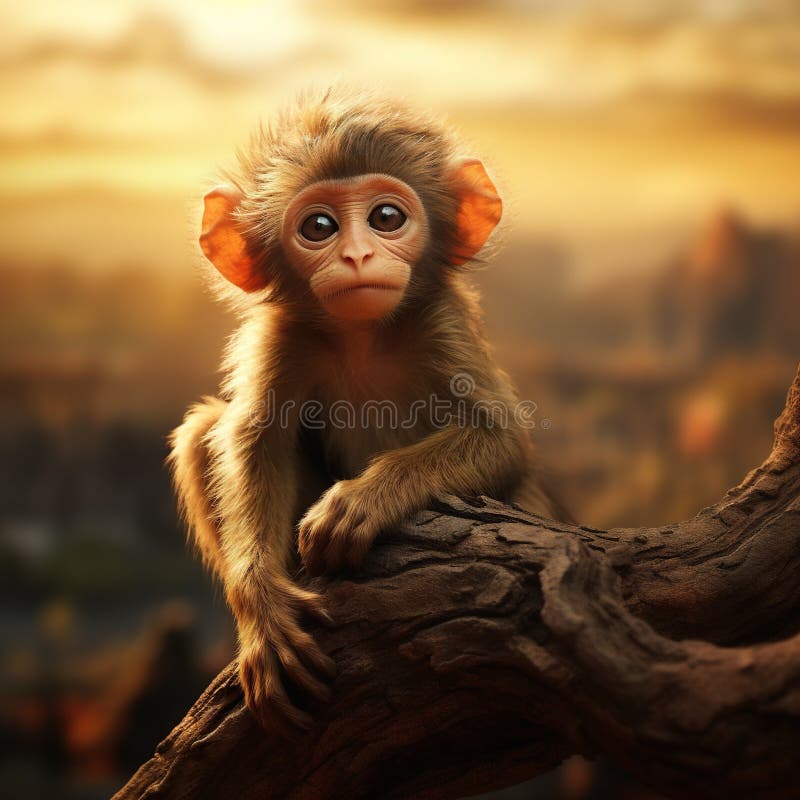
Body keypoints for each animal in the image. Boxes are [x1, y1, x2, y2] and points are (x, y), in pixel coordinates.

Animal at [168, 87, 566, 733]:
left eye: (386, 218)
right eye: (319, 226)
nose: (356, 256)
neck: (363, 339)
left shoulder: (442, 320)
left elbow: (501, 439)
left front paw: (364, 499)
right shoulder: (285, 336)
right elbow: (256, 439)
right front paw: (263, 609)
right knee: (205, 430)